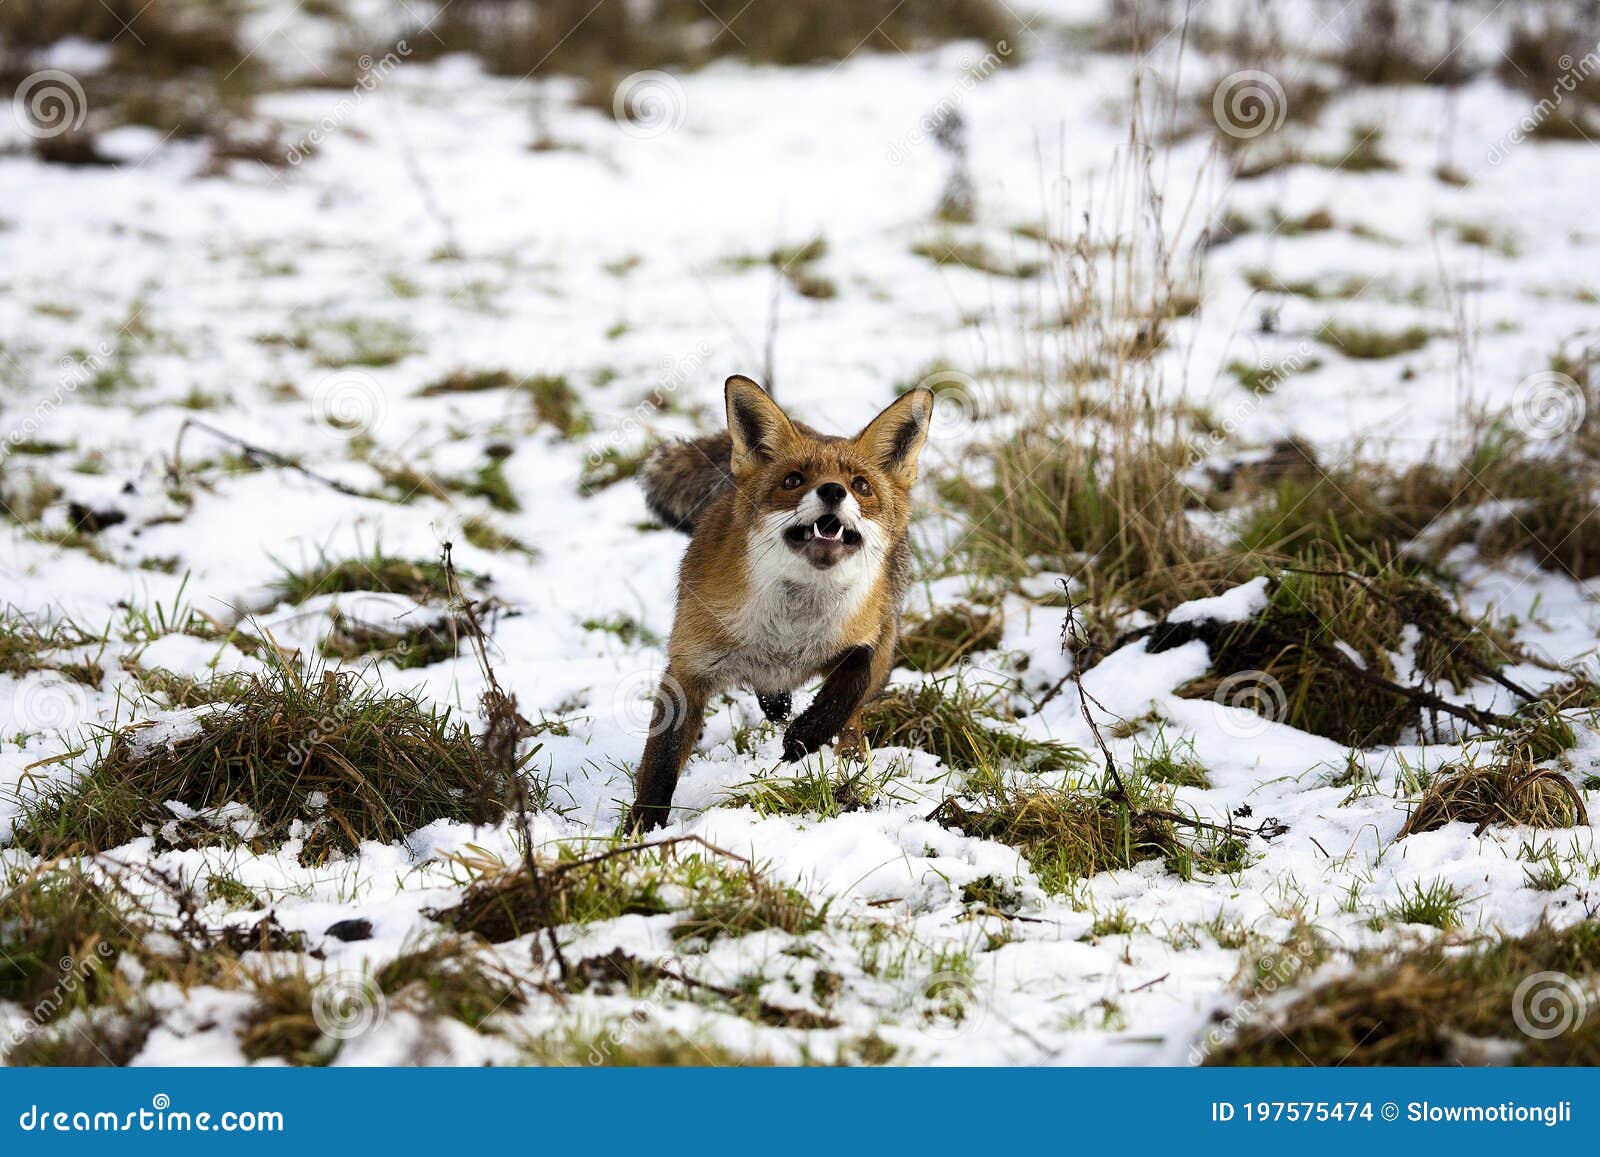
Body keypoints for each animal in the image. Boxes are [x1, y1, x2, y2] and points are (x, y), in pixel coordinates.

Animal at [627, 374, 934, 831]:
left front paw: (805, 737)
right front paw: (642, 830)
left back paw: (850, 765)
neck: (788, 632)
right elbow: (661, 762)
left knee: (855, 717)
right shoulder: (688, 667)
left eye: (860, 485)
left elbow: (853, 676)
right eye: (793, 480)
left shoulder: (870, 636)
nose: (833, 490)